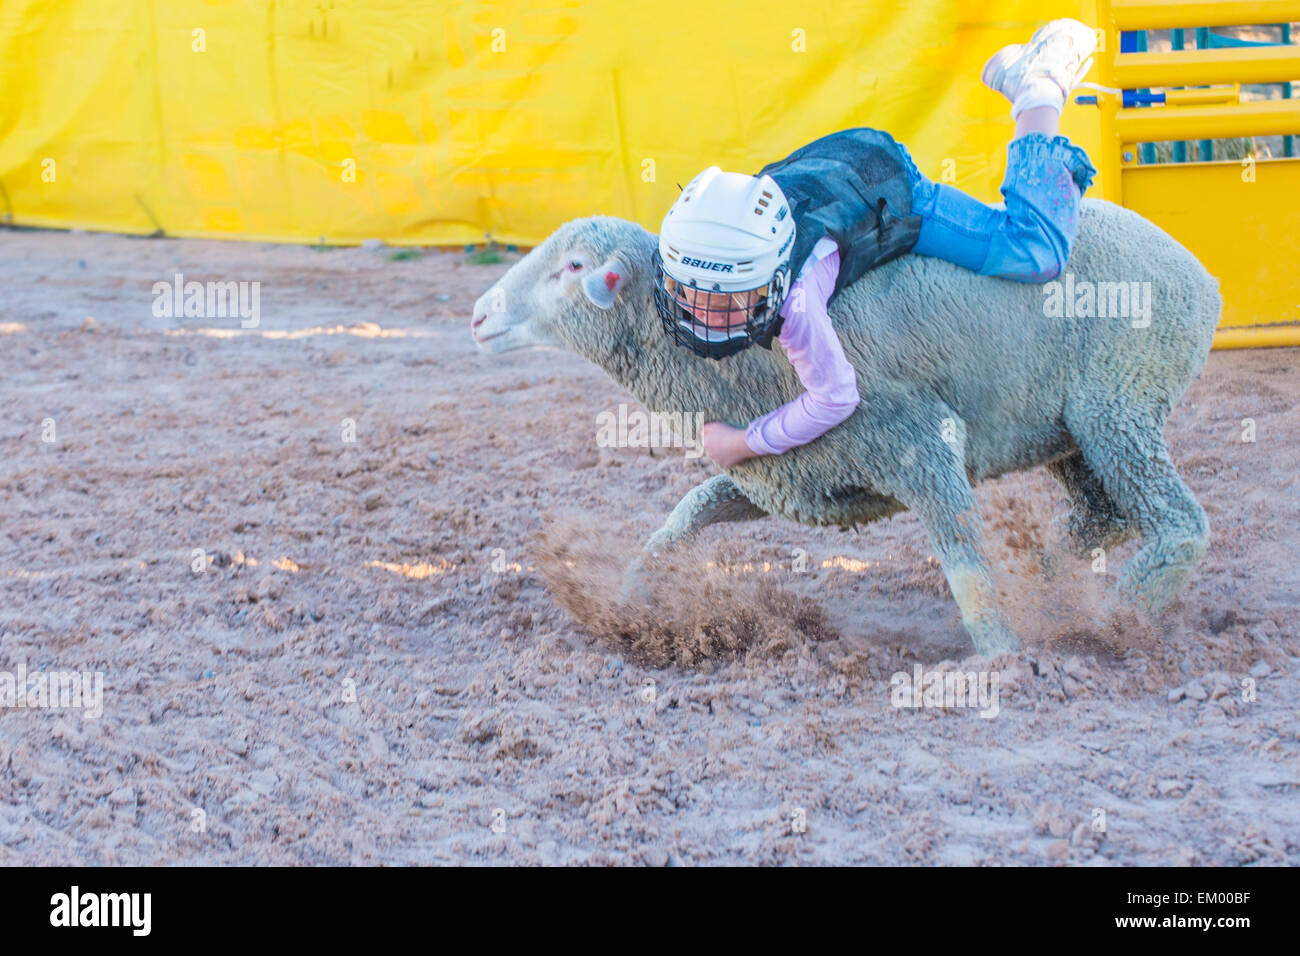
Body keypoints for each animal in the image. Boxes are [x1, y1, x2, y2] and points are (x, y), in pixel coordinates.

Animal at [471, 199, 1221, 656]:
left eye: (572, 267)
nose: (478, 316)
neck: (735, 354)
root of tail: (1202, 274)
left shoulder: (917, 443)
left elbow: (966, 565)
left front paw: (1000, 658)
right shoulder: (791, 474)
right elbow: (686, 513)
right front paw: (627, 599)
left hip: (1118, 402)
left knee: (1178, 523)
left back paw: (1115, 619)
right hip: (1067, 427)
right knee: (1103, 514)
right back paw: (1051, 588)